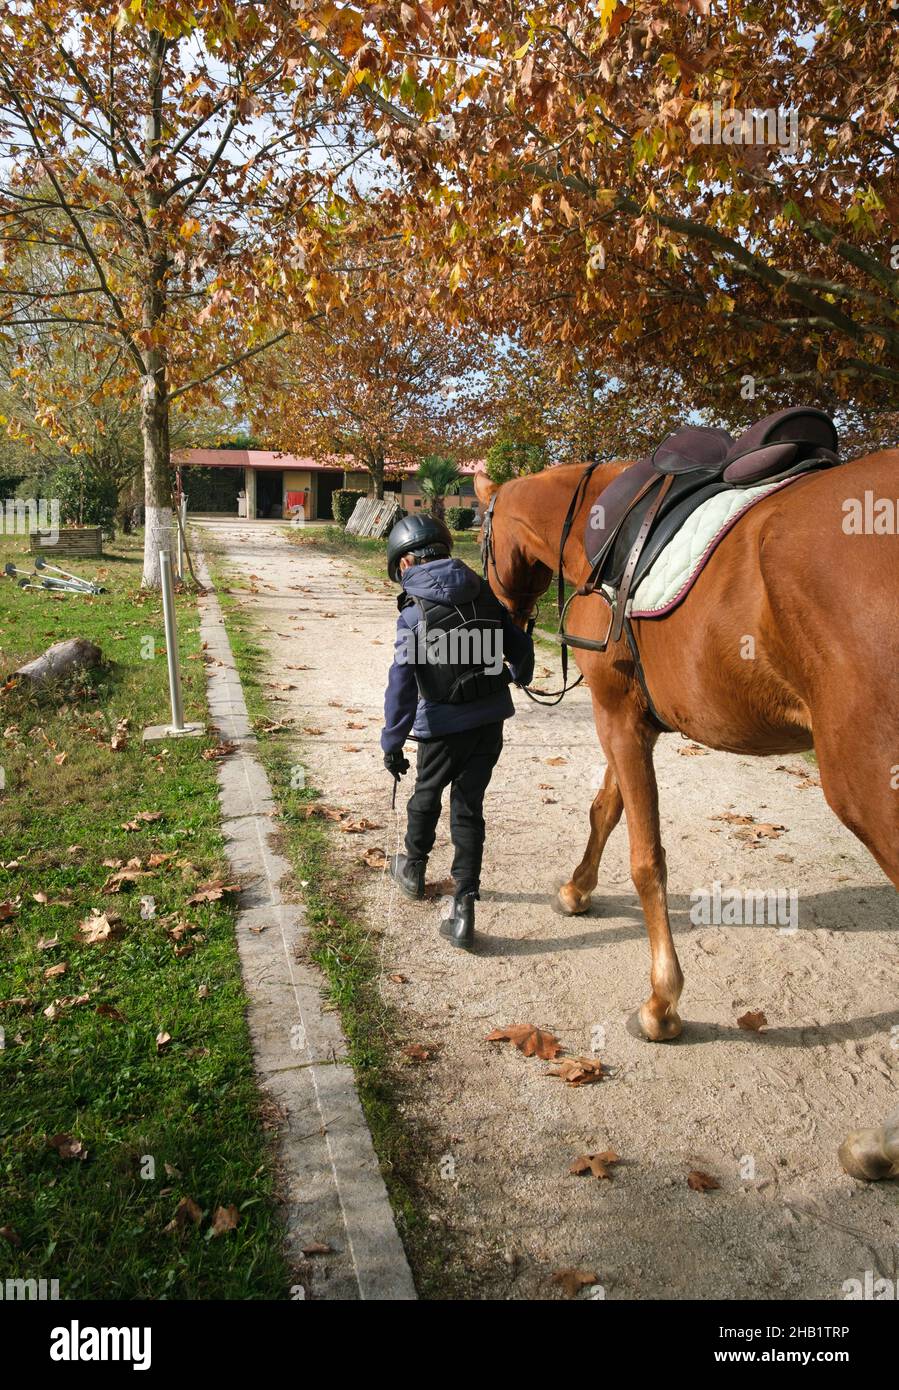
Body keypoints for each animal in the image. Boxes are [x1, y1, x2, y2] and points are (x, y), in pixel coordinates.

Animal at [474, 455, 899, 1049]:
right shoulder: (633, 719)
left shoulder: (615, 715)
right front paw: (577, 889)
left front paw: (662, 1001)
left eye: (479, 537)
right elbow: (606, 811)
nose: (501, 627)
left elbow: (645, 857)